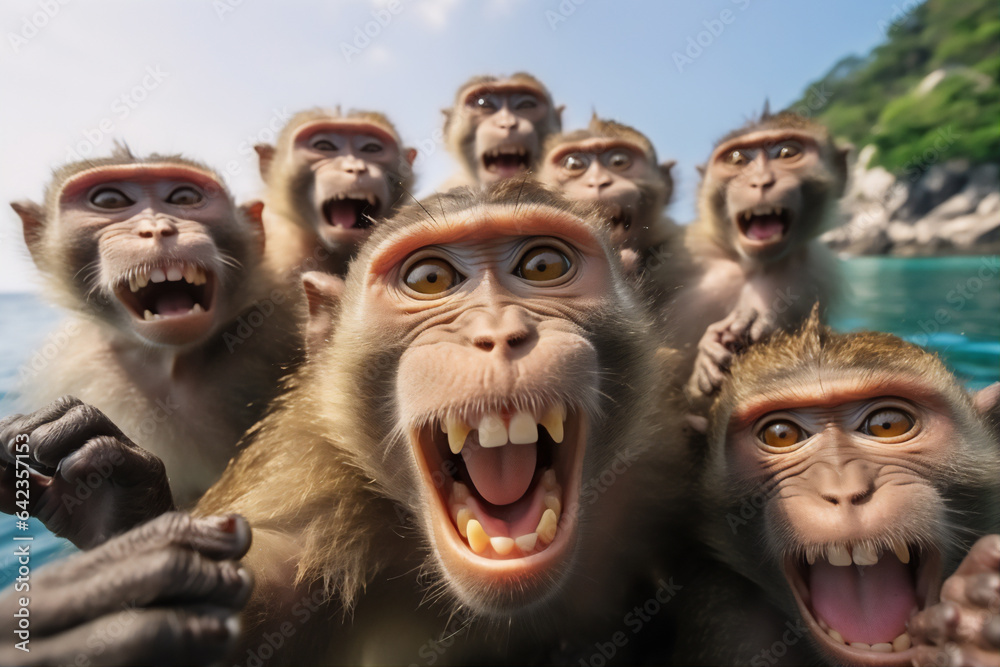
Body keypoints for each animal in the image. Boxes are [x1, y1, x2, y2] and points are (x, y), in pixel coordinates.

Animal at [655, 108, 850, 407]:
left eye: (787, 152)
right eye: (737, 159)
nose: (760, 181)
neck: (747, 263)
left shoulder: (815, 274)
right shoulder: (683, 248)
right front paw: (709, 354)